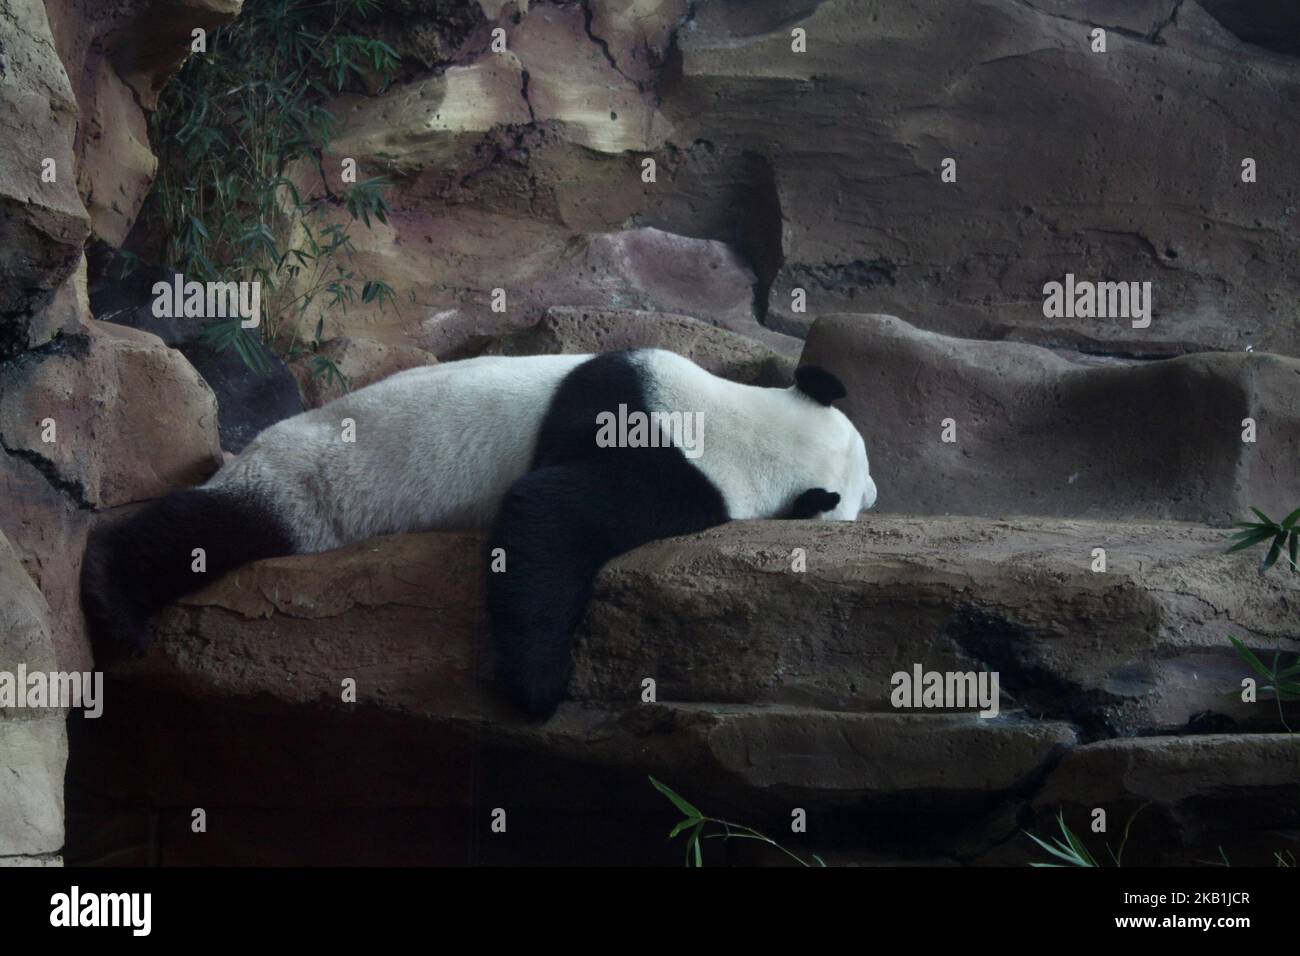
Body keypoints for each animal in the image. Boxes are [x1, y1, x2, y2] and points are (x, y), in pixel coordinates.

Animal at [82, 348, 877, 717]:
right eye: (863, 483)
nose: (874, 494)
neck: (736, 422)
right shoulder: (665, 465)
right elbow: (545, 517)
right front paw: (541, 690)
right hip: (306, 483)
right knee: (214, 529)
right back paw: (116, 604)